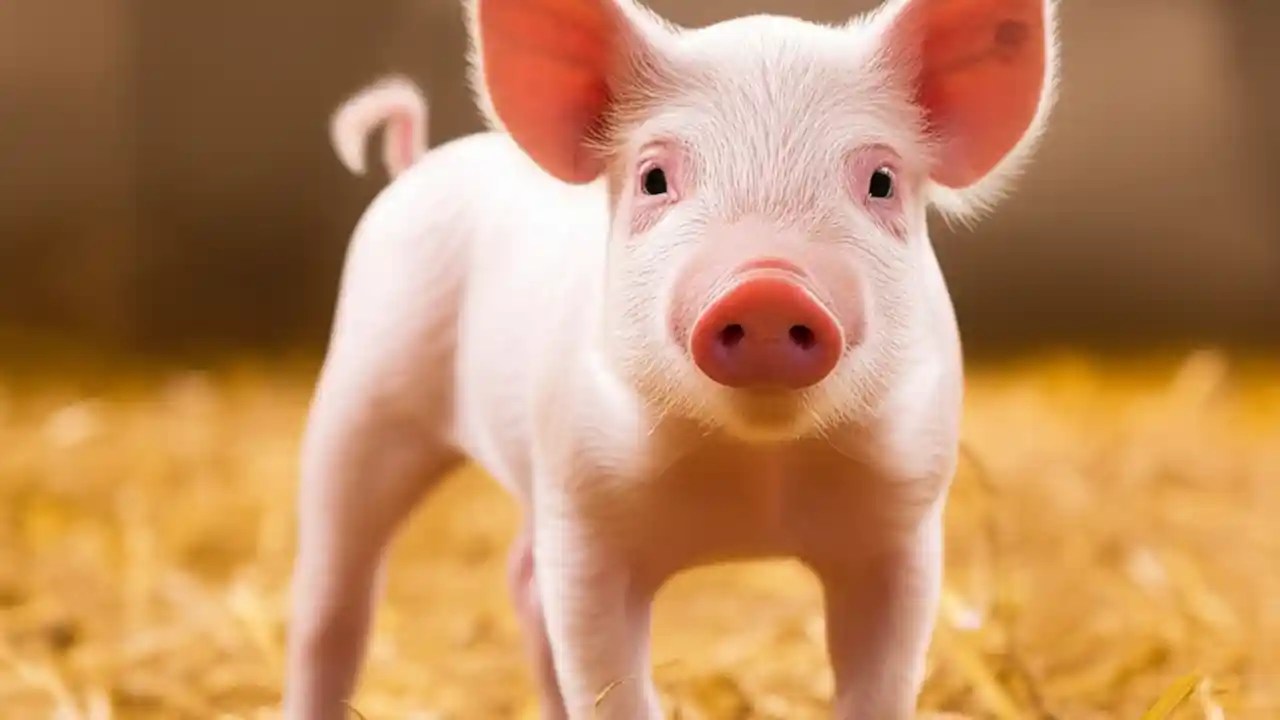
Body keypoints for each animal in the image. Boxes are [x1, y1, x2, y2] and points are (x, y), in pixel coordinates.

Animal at [283, 0, 1058, 718]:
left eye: (881, 181)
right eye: (655, 178)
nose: (767, 284)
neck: (759, 471)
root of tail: (419, 164)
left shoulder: (903, 526)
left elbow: (882, 682)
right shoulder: (586, 515)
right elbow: (607, 676)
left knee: (521, 579)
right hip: (364, 393)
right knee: (331, 603)